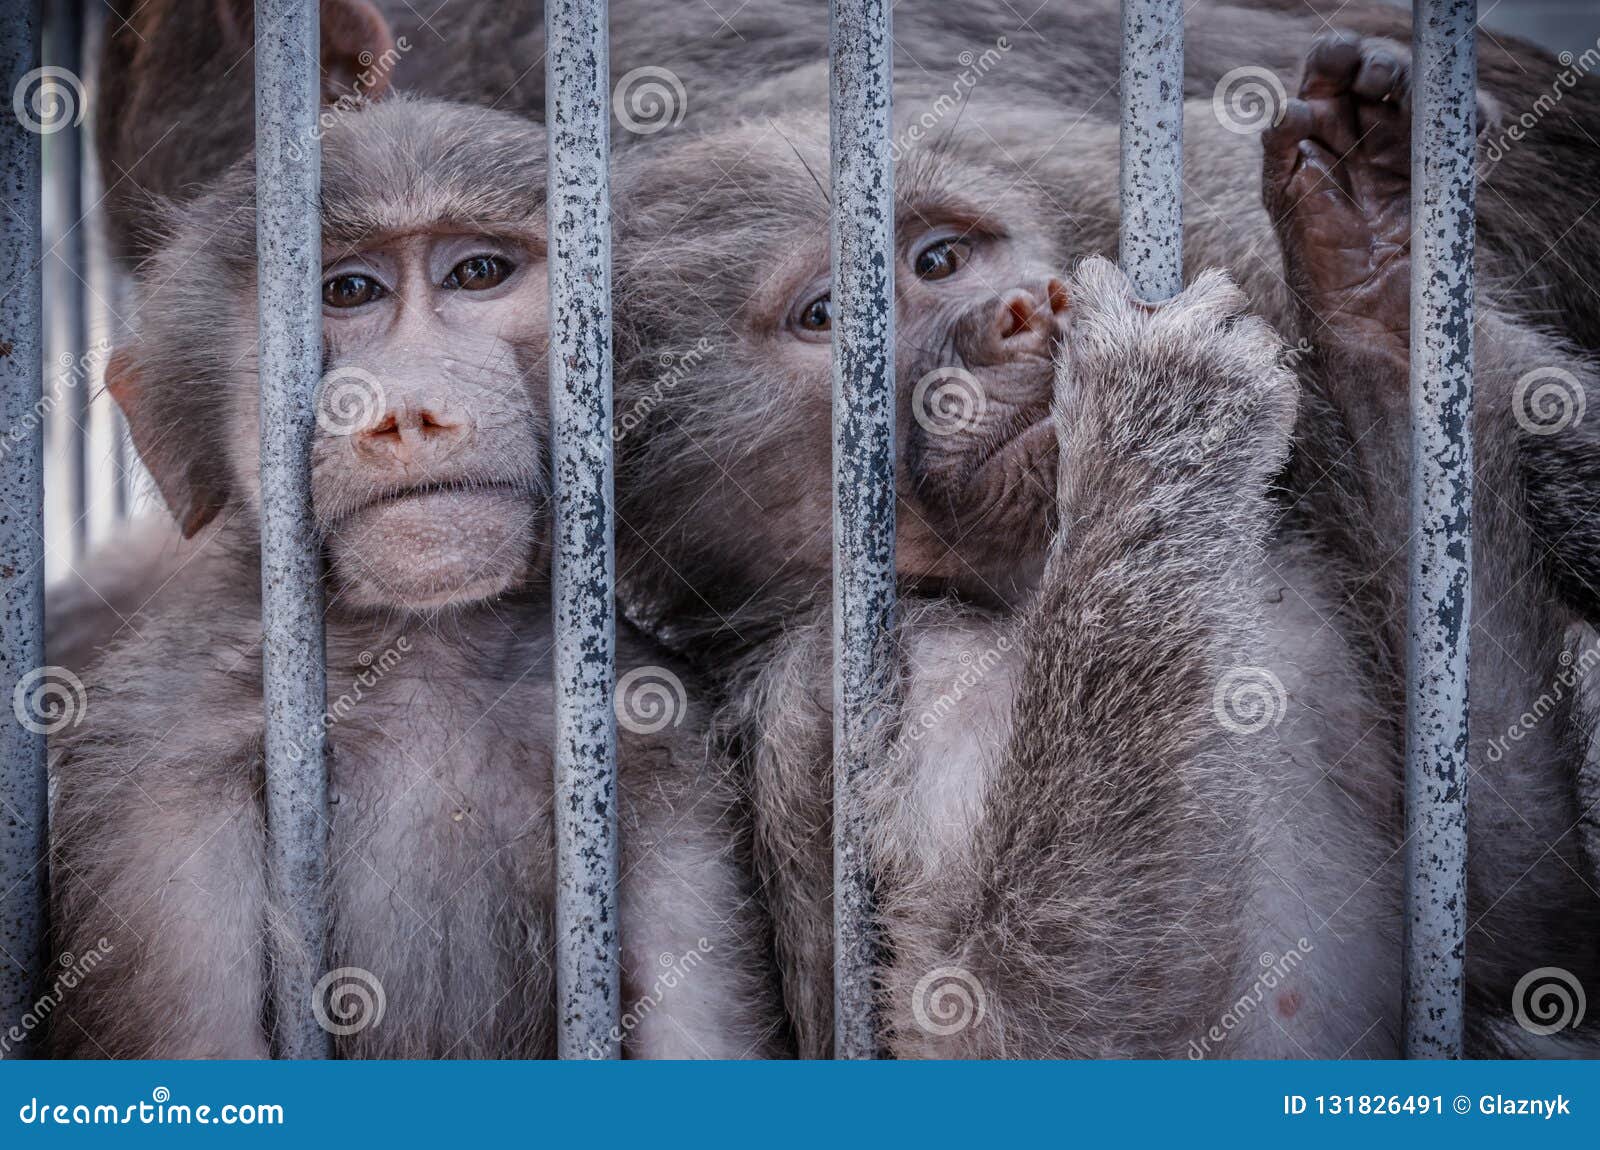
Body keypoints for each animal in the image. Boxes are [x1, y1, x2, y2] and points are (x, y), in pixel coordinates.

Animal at [47, 96, 786, 1060]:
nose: (407, 412)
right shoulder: (152, 775)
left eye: (478, 273)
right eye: (348, 291)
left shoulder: (664, 742)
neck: (420, 647)